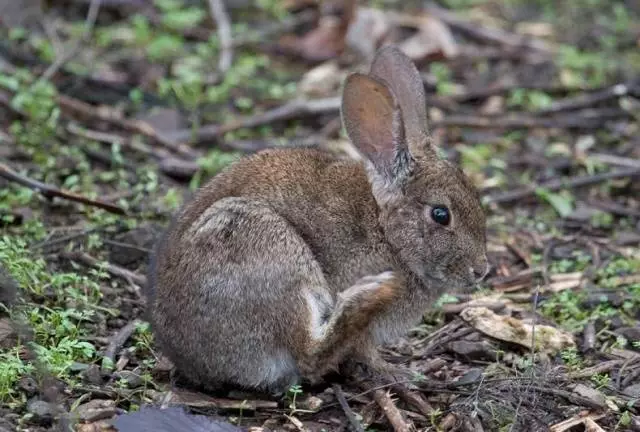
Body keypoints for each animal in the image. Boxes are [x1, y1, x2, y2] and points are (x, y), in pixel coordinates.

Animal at [148, 45, 488, 394]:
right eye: (440, 214)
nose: (482, 270)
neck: (388, 231)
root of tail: (195, 363)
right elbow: (363, 351)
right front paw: (395, 372)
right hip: (265, 248)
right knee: (308, 356)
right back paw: (369, 292)